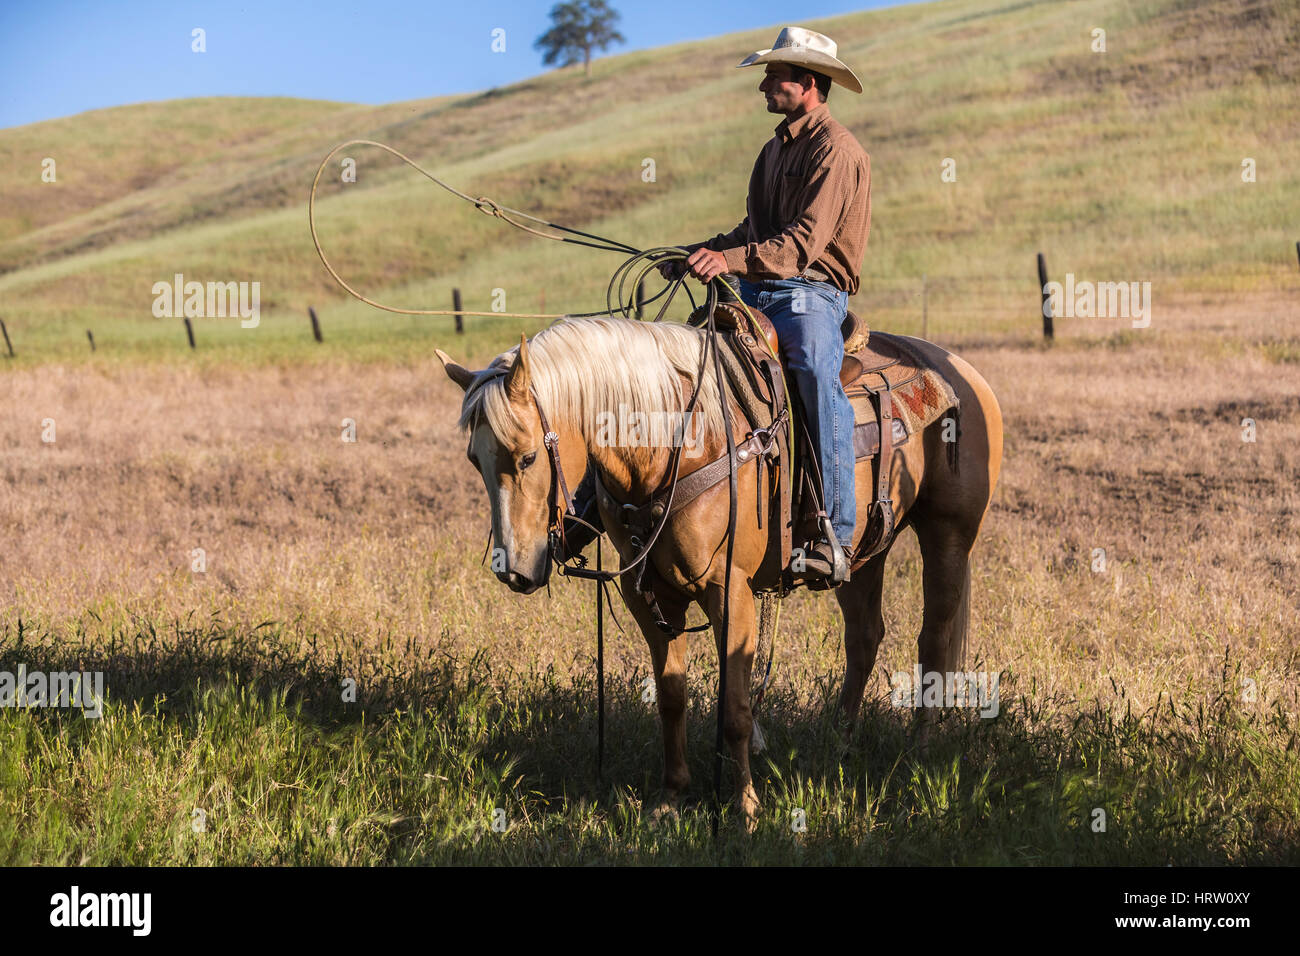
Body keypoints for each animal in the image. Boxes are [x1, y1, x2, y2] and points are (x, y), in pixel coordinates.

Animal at [437, 314, 1003, 827]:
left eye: (528, 457)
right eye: (474, 459)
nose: (513, 570)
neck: (677, 441)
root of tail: (962, 373)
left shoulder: (730, 592)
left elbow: (735, 708)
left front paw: (745, 808)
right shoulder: (647, 595)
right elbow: (672, 697)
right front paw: (670, 798)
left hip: (948, 534)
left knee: (934, 637)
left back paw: (920, 748)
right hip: (865, 552)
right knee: (864, 636)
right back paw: (839, 743)